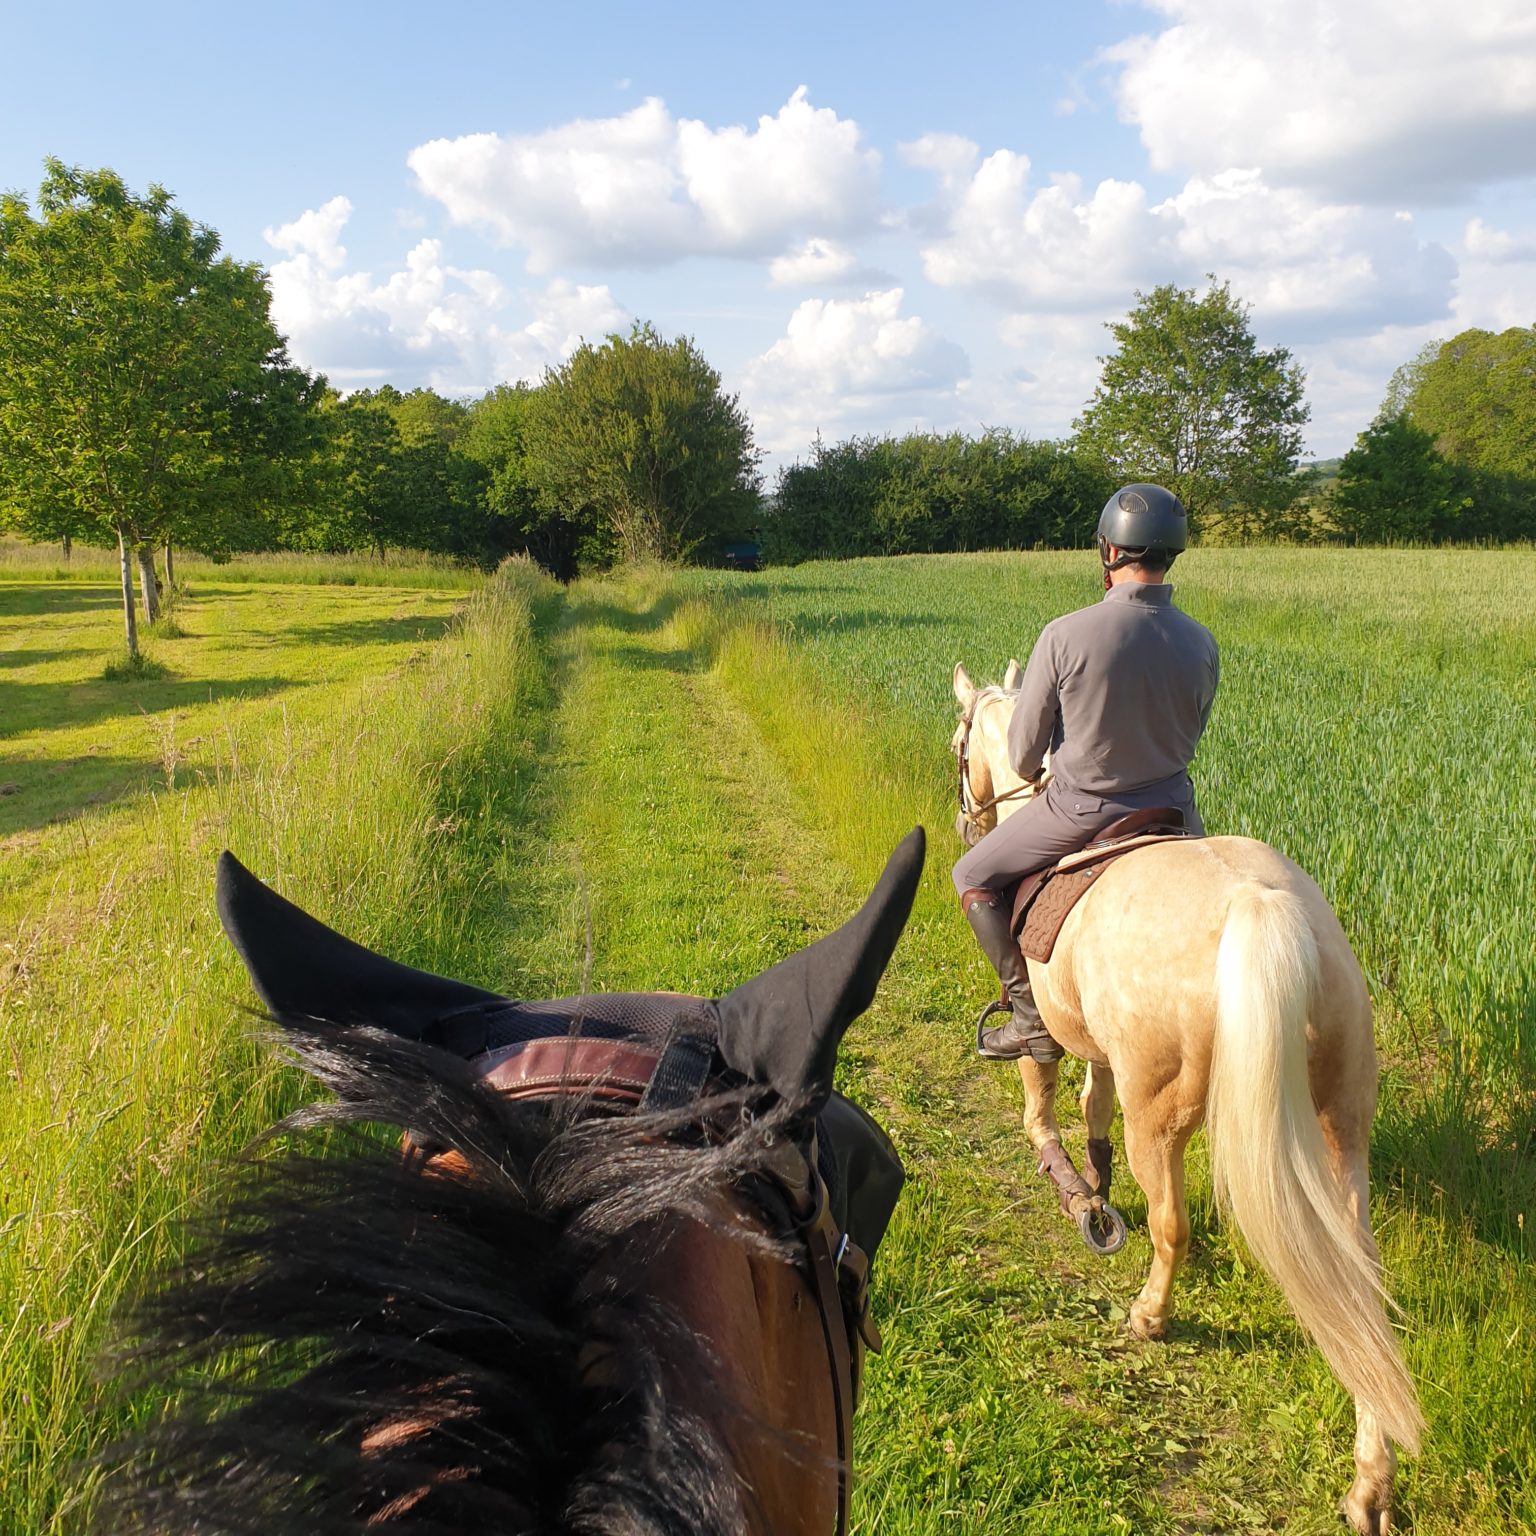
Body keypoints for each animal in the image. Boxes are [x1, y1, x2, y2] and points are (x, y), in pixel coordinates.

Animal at [952, 663, 1422, 1536]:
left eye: (959, 742)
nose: (969, 819)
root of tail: (1266, 906)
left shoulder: (1050, 1033)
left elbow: (1044, 1095)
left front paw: (1065, 1176)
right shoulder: (1101, 1050)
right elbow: (1093, 1110)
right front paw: (1096, 1186)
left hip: (1165, 1117)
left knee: (1173, 1224)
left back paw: (1150, 1315)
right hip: (1343, 1128)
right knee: (1358, 1277)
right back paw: (1370, 1483)